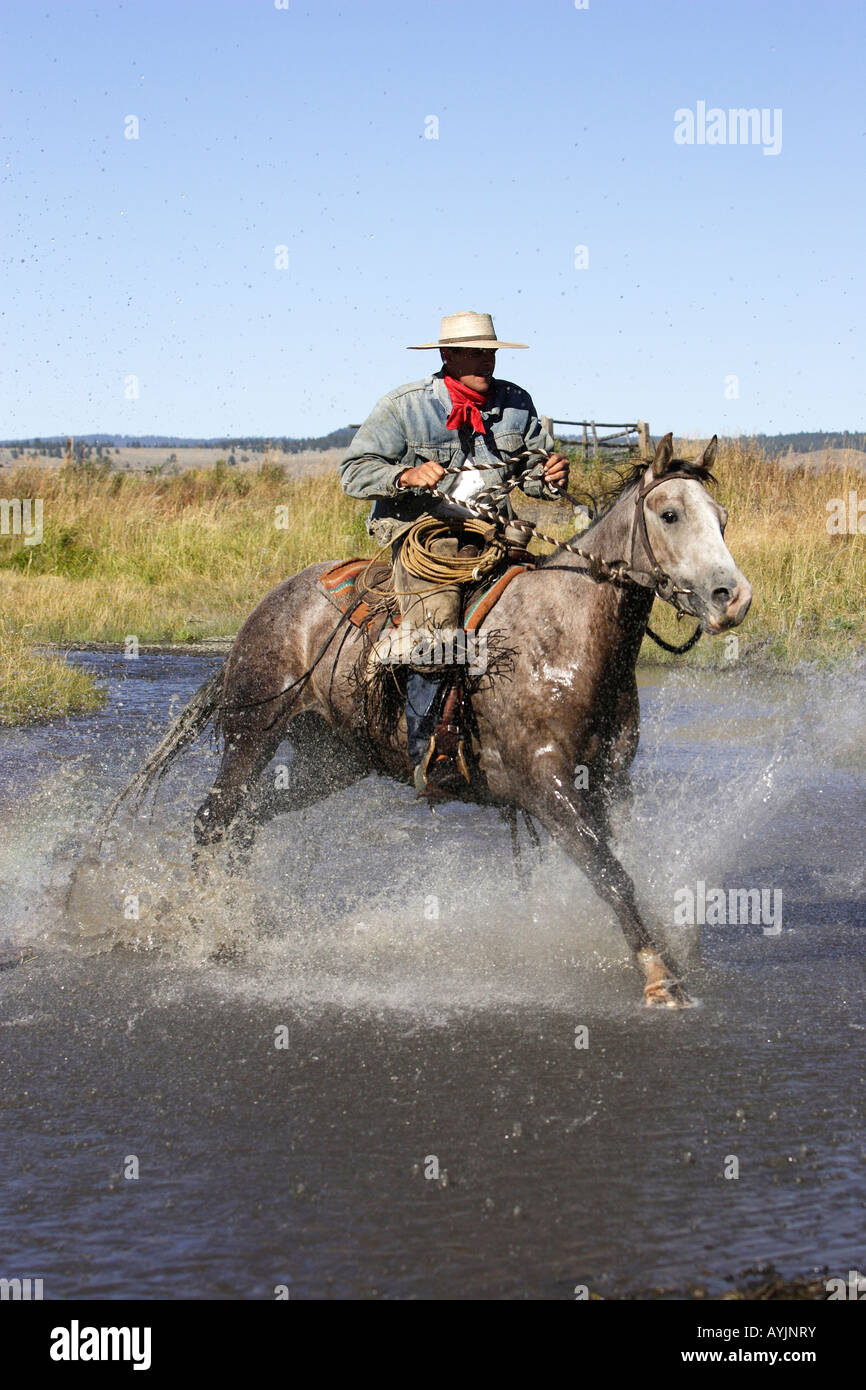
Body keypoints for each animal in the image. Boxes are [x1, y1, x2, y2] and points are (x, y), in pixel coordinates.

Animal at [113, 433, 751, 1007]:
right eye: (669, 514)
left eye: (721, 518)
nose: (733, 597)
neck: (567, 636)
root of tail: (267, 608)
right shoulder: (545, 783)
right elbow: (609, 870)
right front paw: (660, 977)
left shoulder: (612, 780)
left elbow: (625, 861)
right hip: (252, 737)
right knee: (212, 819)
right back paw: (209, 930)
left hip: (331, 762)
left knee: (249, 821)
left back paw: (238, 914)